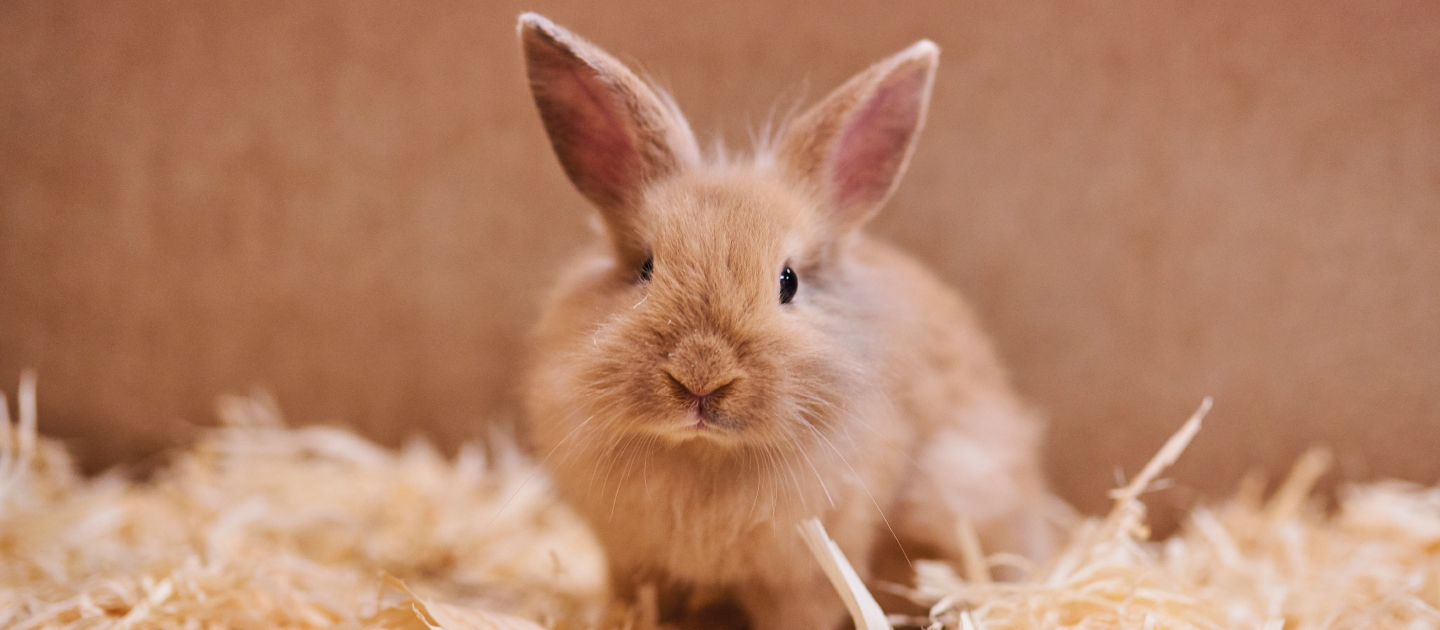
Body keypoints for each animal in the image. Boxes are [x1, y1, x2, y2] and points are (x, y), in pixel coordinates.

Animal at [518, 13, 1060, 630]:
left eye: (789, 282)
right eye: (645, 269)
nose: (700, 377)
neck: (705, 454)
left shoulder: (805, 577)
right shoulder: (633, 564)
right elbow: (633, 604)